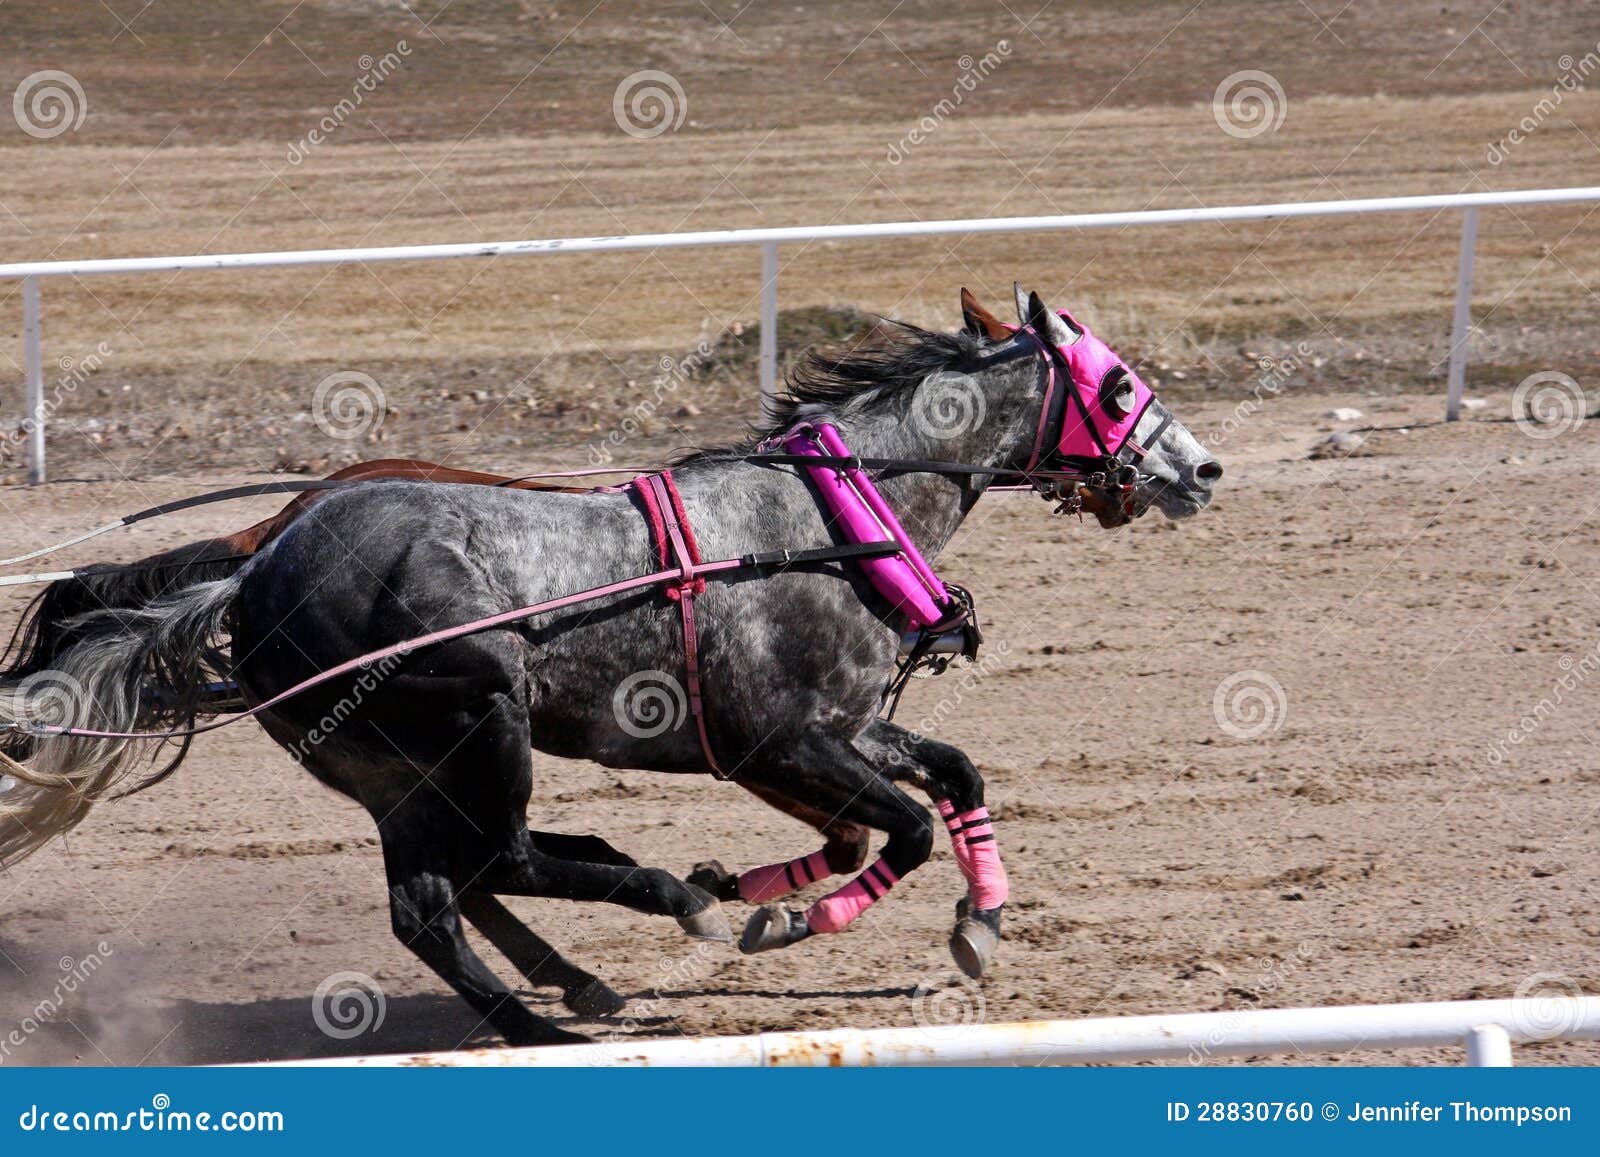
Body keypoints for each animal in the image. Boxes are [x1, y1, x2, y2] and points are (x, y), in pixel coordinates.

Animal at [0, 287, 1221, 1046]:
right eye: (1118, 385)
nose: (1201, 469)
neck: (825, 521)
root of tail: (254, 571)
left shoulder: (848, 728)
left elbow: (951, 777)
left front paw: (973, 920)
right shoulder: (783, 742)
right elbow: (905, 829)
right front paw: (784, 911)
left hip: (396, 768)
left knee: (447, 891)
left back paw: (566, 981)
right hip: (475, 713)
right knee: (478, 871)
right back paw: (618, 938)